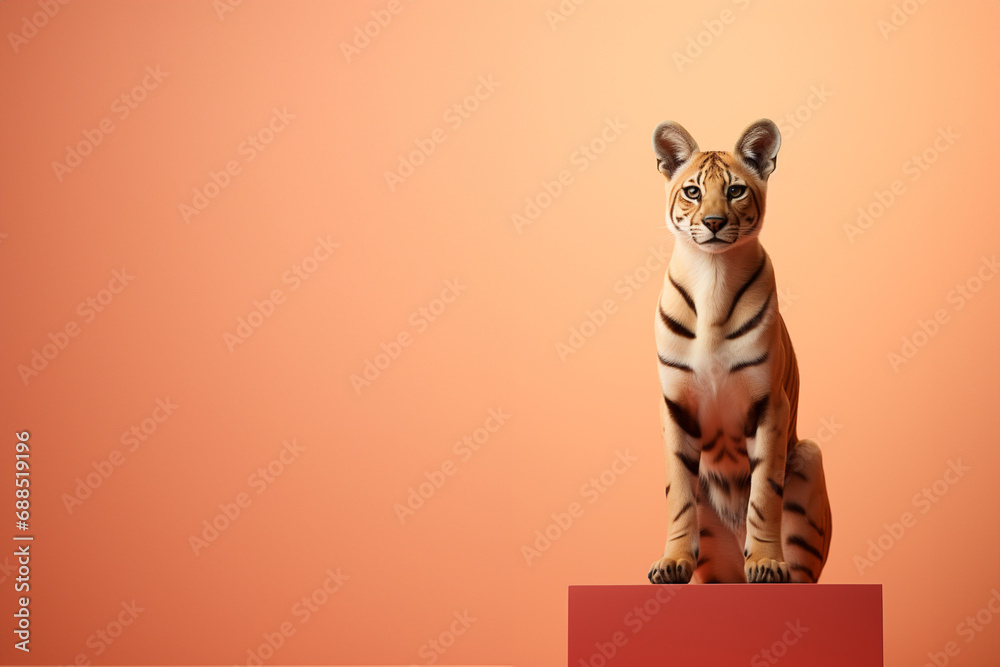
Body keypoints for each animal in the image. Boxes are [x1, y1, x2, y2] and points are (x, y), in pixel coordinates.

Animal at [646, 119, 832, 585]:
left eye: (734, 191)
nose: (713, 222)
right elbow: (678, 493)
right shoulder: (675, 405)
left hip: (809, 456)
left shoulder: (769, 404)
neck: (712, 273)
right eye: (693, 191)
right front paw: (673, 560)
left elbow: (764, 493)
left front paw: (765, 560)